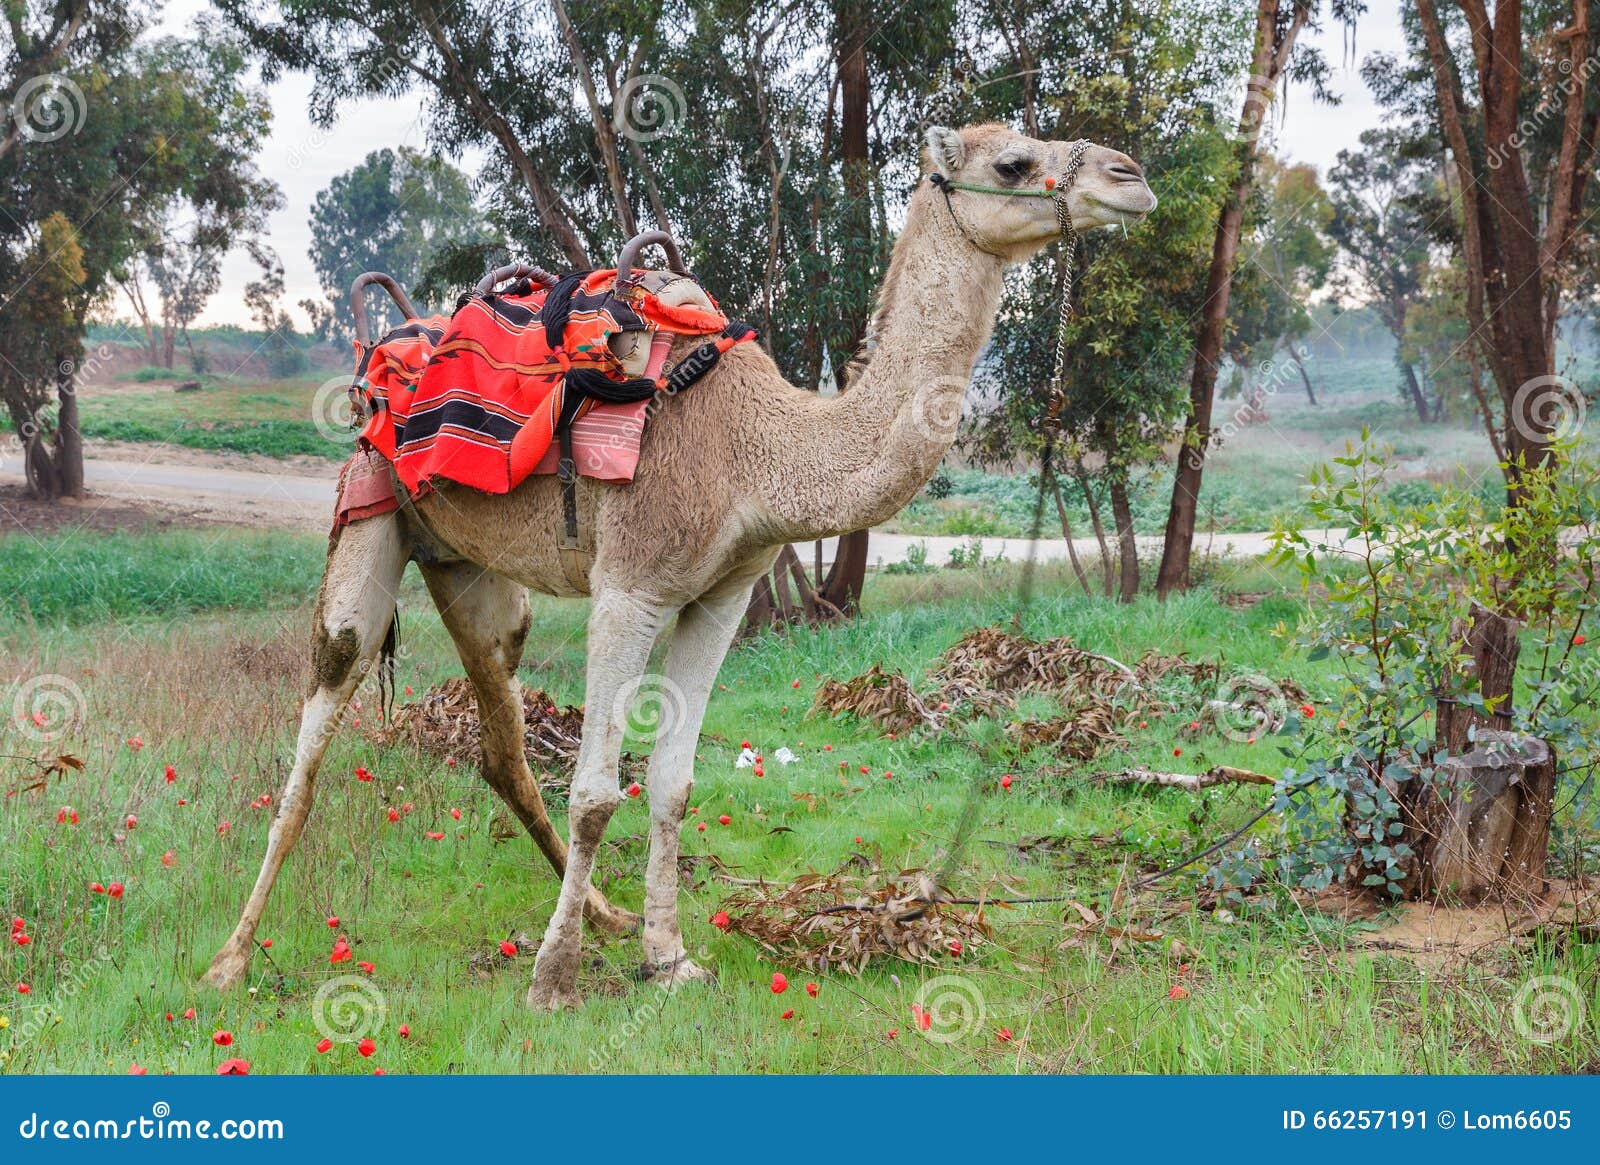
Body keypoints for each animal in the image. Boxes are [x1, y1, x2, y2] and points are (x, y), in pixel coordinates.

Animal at [203, 123, 1155, 1009]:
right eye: (1013, 162)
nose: (1131, 177)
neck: (760, 451)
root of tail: (389, 338)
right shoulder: (628, 587)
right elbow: (597, 791)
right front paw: (554, 979)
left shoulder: (722, 596)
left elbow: (673, 782)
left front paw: (668, 956)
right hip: (371, 505)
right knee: (322, 712)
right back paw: (231, 958)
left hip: (465, 565)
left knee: (502, 735)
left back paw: (604, 913)